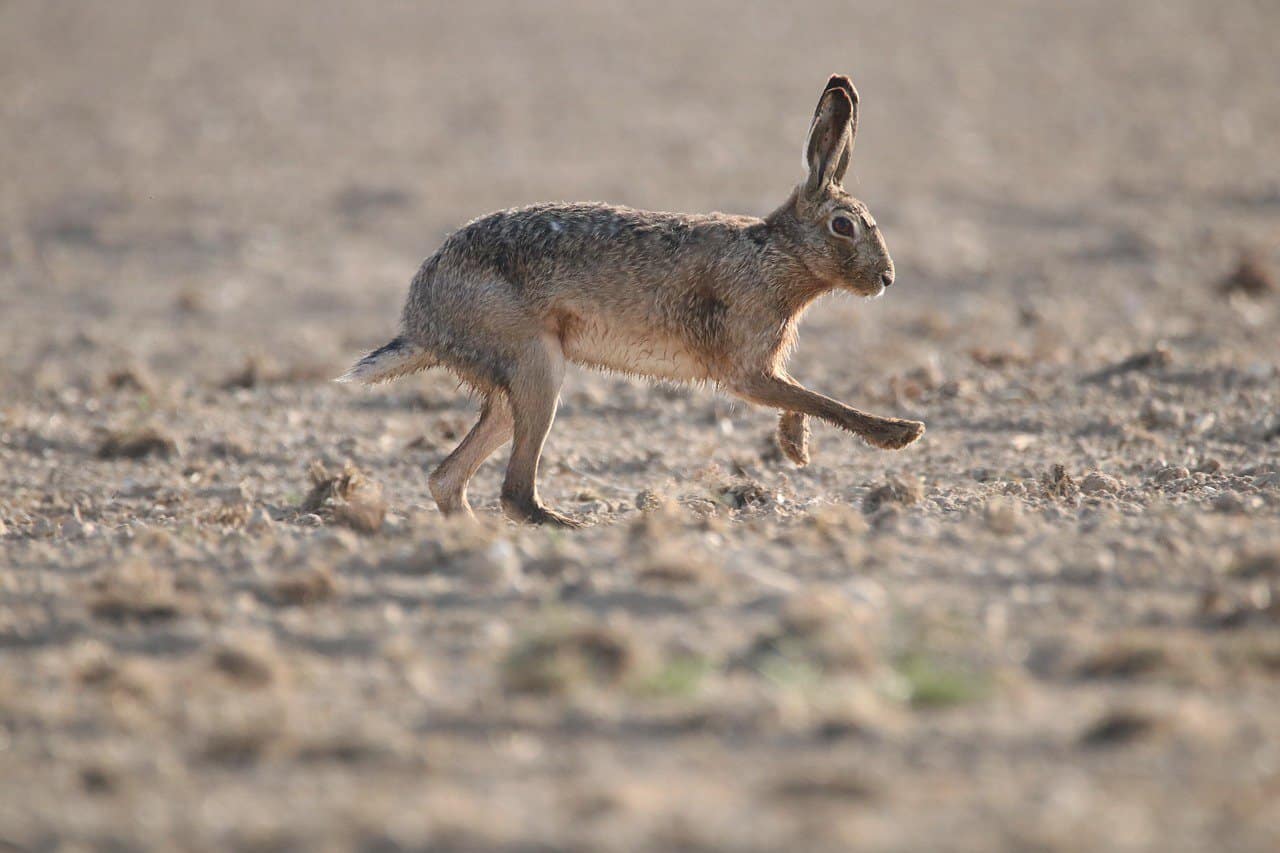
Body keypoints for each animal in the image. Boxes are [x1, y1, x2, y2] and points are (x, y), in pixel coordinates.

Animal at [339, 74, 924, 527]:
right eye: (843, 226)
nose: (887, 278)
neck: (777, 252)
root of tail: (420, 319)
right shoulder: (746, 370)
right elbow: (817, 399)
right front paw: (899, 434)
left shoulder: (764, 368)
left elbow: (800, 398)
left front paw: (795, 447)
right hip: (535, 365)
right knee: (513, 492)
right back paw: (566, 528)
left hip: (514, 388)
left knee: (448, 477)